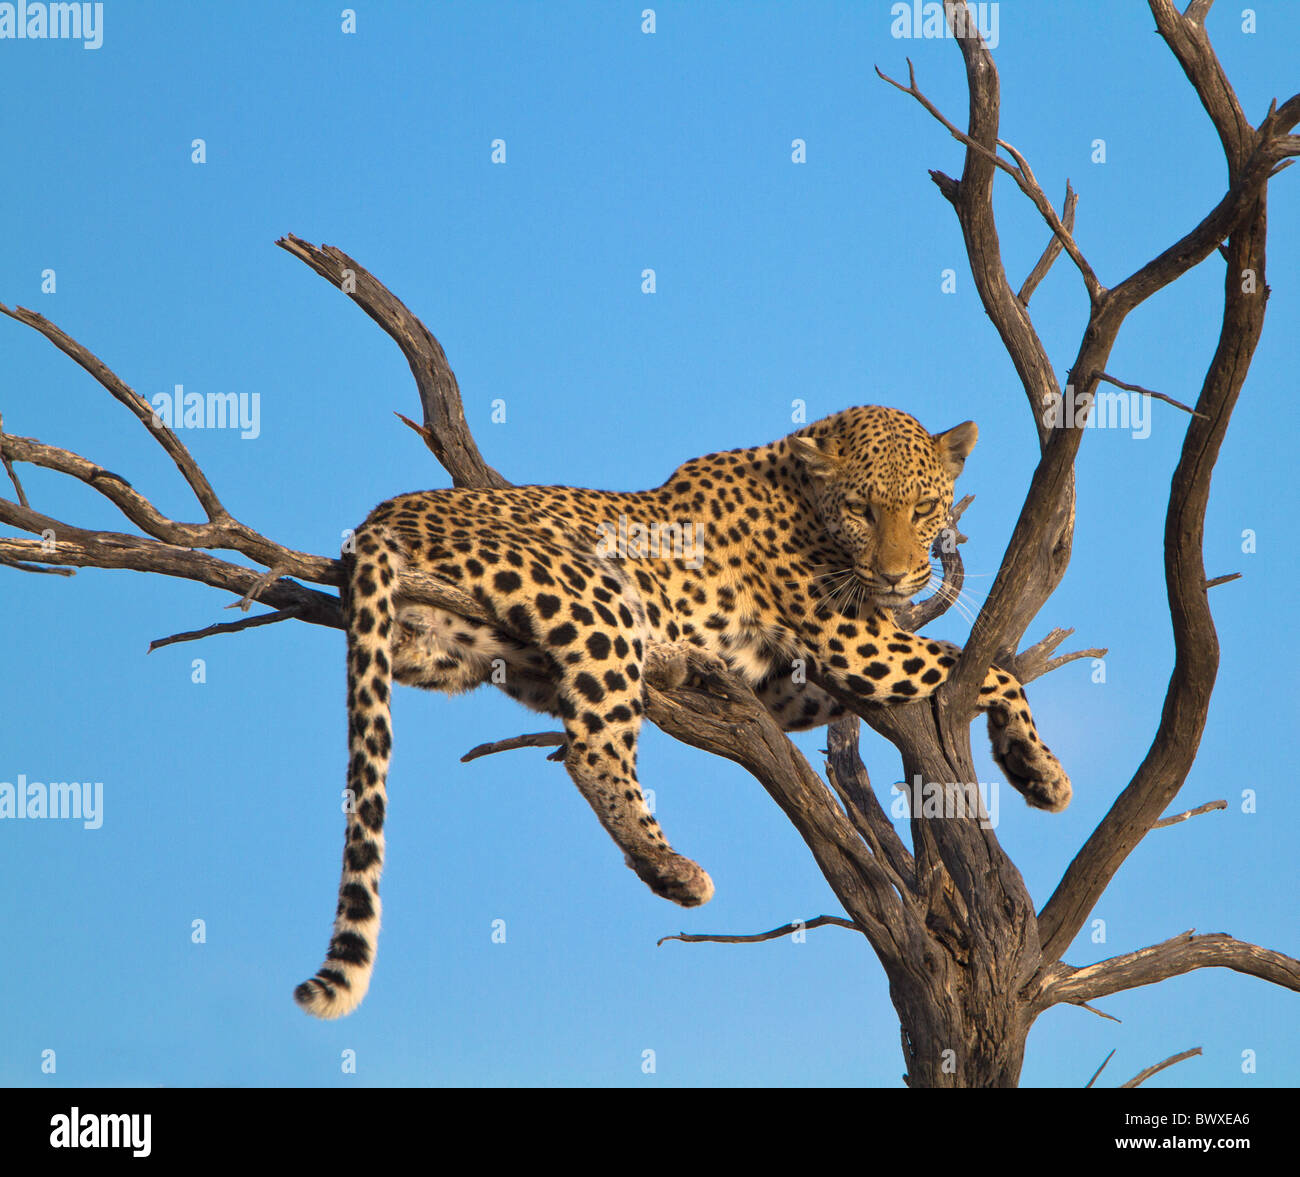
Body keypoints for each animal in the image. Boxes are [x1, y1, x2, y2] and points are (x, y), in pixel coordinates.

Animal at [294, 405, 1071, 1018]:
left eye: (923, 508)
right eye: (862, 510)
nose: (898, 575)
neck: (802, 492)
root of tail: (373, 521)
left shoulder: (788, 682)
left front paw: (1031, 766)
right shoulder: (851, 643)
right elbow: (987, 667)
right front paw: (1043, 773)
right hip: (597, 594)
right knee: (591, 750)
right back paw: (673, 868)